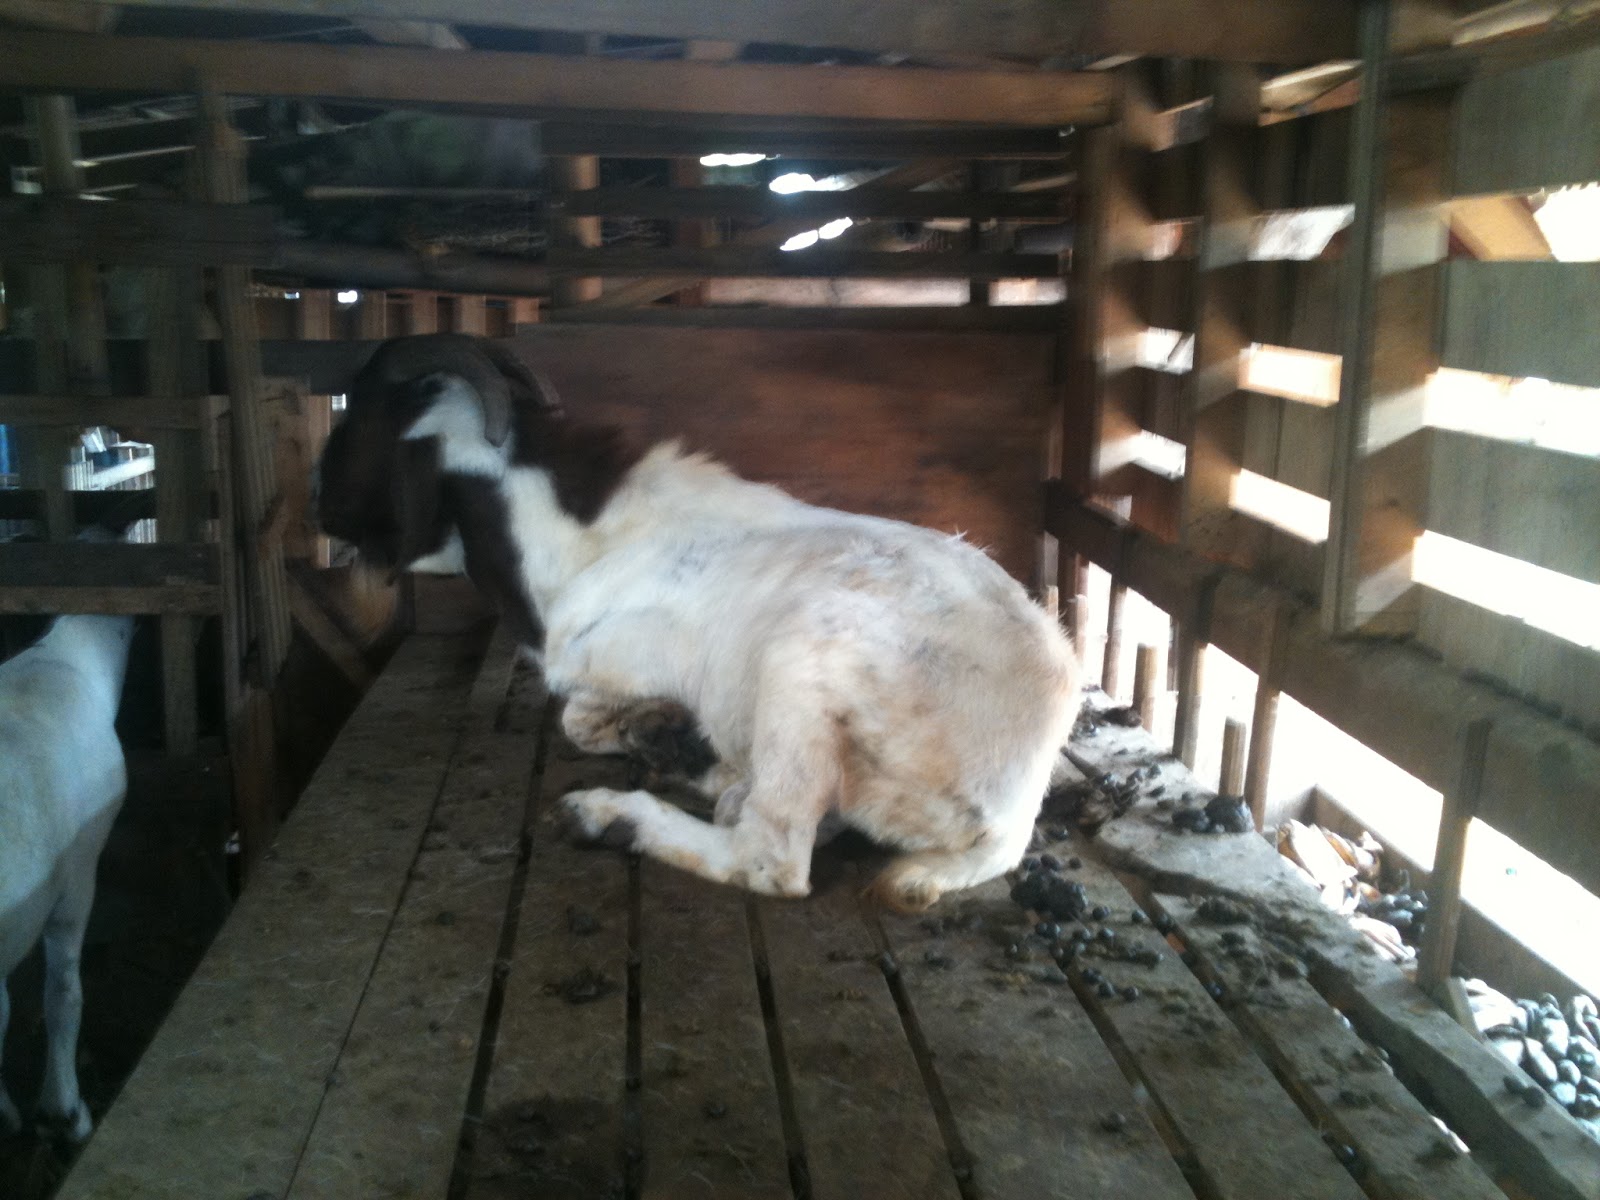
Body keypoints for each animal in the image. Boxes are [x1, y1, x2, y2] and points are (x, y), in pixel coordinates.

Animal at [317, 334, 1081, 910]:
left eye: (357, 420)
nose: (322, 508)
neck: (580, 538)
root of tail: (1012, 804)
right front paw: (663, 734)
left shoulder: (623, 657)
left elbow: (575, 717)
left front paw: (656, 733)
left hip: (801, 674)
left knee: (771, 859)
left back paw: (612, 814)